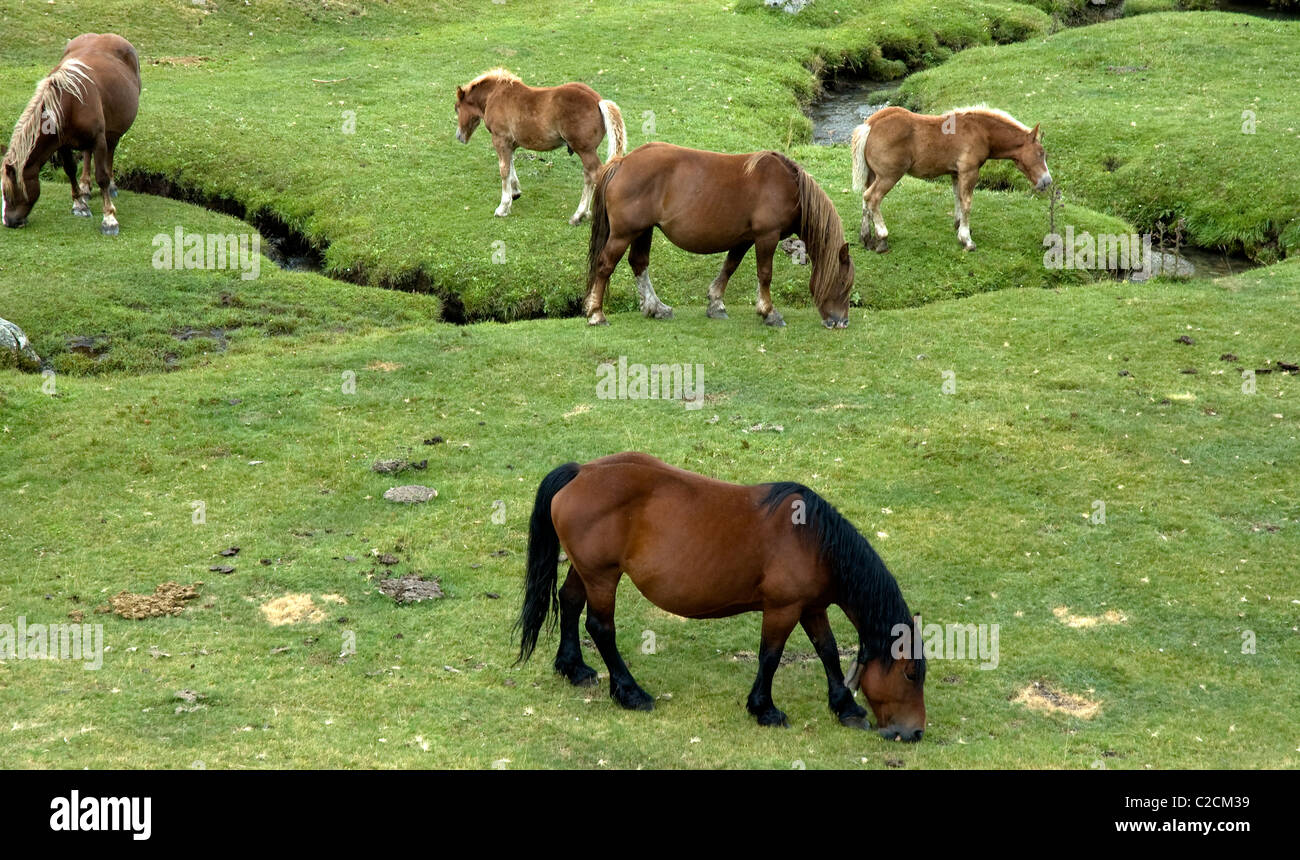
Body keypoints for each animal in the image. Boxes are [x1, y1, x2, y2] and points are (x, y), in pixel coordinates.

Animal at [2, 34, 140, 235]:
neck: (69, 104)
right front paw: (79, 203)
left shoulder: (99, 139)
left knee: (111, 151)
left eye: (8, 193)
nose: (9, 221)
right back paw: (85, 187)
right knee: (86, 154)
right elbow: (70, 169)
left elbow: (102, 177)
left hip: (113, 131)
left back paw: (112, 186)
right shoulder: (62, 143)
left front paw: (109, 219)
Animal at [454, 68, 627, 225]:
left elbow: (504, 170)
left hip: (585, 150)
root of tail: (598, 101)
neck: (494, 95)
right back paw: (584, 214)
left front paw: (503, 207)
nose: (459, 136)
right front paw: (515, 192)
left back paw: (579, 214)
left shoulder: (500, 139)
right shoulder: (510, 143)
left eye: (457, 108)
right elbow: (511, 165)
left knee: (594, 174)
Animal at [516, 452, 926, 740]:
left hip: (588, 572)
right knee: (601, 628)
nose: (915, 732)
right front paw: (764, 709)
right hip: (603, 577)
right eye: (910, 674)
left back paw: (573, 668)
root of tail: (581, 471)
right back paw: (631, 693)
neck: (813, 539)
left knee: (569, 602)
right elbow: (770, 657)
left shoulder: (811, 608)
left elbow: (827, 651)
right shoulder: (783, 608)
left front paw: (845, 707)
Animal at [584, 143, 854, 329]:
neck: (789, 187)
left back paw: (656, 307)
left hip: (643, 230)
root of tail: (622, 162)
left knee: (639, 264)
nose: (841, 322)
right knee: (605, 265)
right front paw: (769, 312)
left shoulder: (744, 239)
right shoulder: (766, 236)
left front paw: (716, 304)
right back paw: (596, 313)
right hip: (624, 233)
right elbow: (765, 274)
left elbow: (729, 267)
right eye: (843, 283)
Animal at [850, 105, 1051, 253]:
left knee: (865, 200)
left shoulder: (956, 173)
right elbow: (967, 202)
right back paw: (882, 238)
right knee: (872, 198)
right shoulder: (969, 171)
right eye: (1041, 153)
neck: (981, 131)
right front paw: (966, 239)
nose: (1047, 181)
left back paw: (866, 238)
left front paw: (958, 225)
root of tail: (870, 125)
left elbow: (958, 198)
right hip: (889, 176)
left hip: (872, 175)